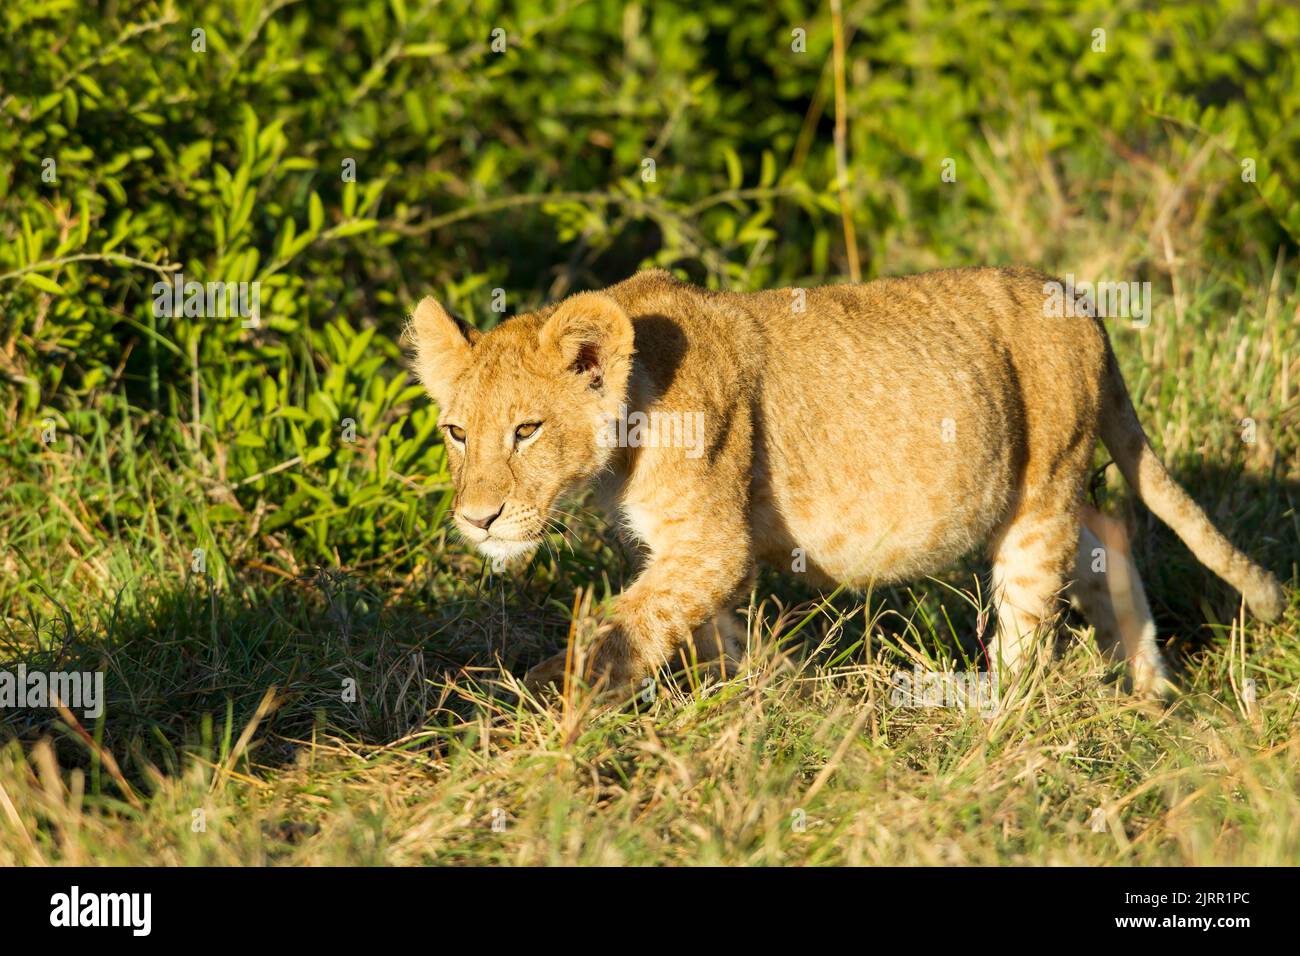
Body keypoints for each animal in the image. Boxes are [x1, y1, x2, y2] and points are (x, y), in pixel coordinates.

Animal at [406, 267, 1285, 699]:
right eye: (457, 433)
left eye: (527, 430)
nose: (479, 520)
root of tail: (1082, 303)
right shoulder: (693, 556)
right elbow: (716, 637)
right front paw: (773, 698)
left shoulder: (710, 543)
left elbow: (620, 633)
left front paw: (528, 707)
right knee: (1107, 533)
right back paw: (1151, 688)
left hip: (1041, 487)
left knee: (1034, 617)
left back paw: (997, 718)